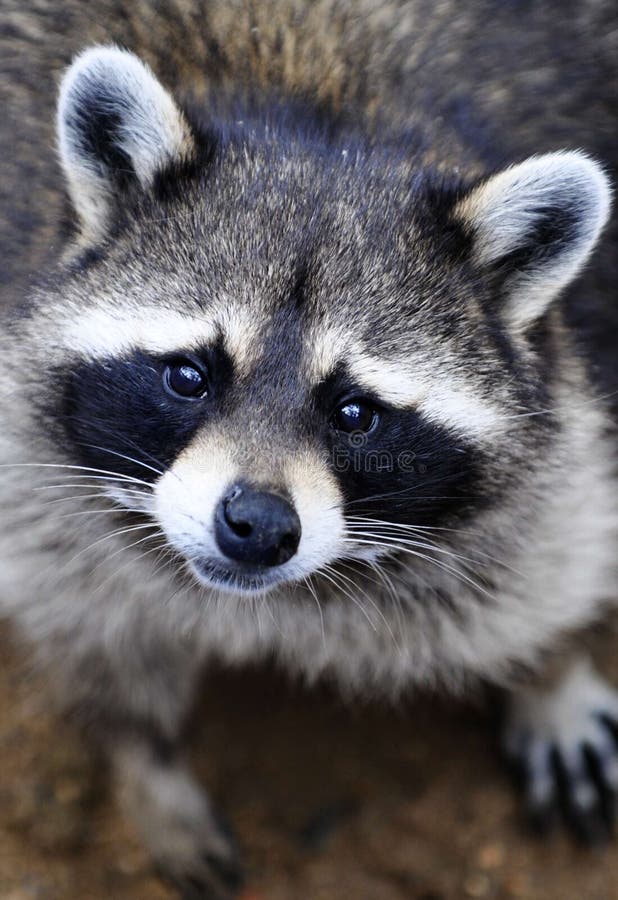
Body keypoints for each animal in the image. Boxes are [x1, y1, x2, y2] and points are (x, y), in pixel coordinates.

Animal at [1, 0, 617, 895]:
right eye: (189, 375)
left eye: (354, 412)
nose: (256, 526)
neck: (327, 109)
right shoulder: (28, 458)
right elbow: (85, 625)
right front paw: (144, 764)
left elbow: (551, 541)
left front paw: (553, 666)